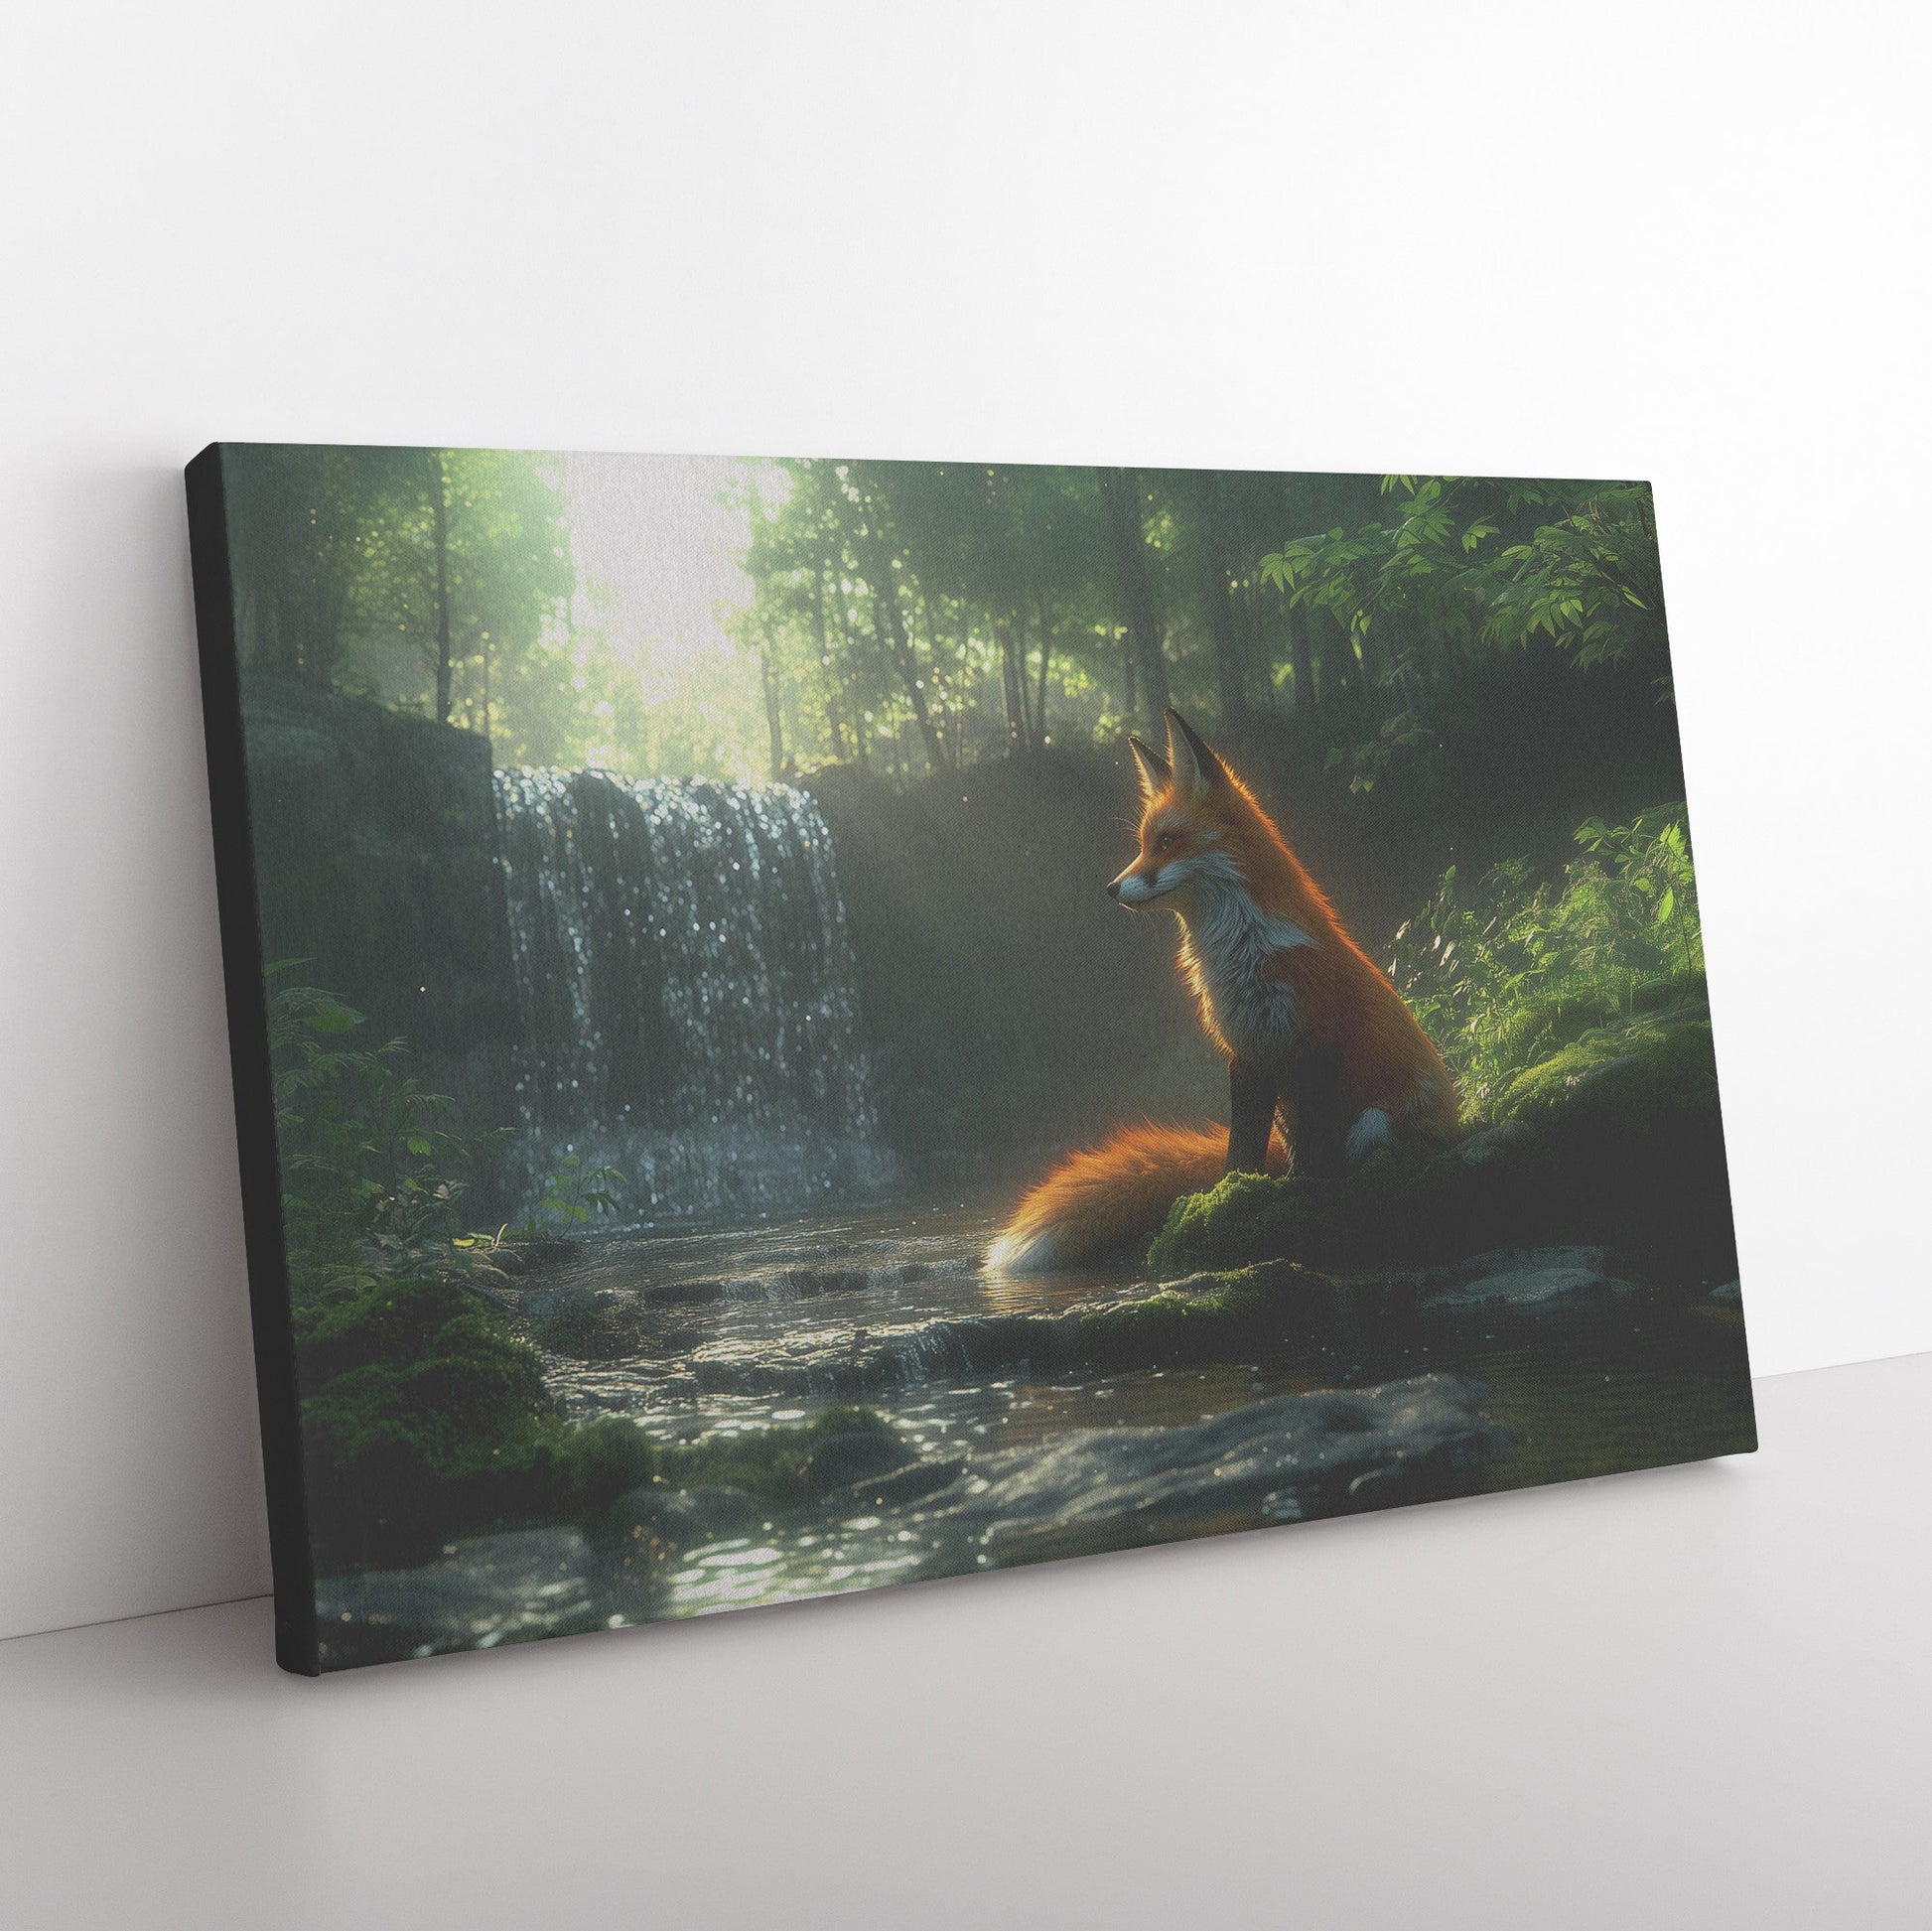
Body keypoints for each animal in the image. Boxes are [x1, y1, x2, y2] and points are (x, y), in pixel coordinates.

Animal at [989, 707, 1459, 1273]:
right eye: (1143, 845)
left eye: (1167, 842)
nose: (1111, 888)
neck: (1244, 954)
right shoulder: (1248, 1053)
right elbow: (1241, 1151)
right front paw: (1231, 1197)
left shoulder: (1312, 1048)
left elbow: (1315, 1150)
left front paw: (1298, 1192)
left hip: (1376, 1120)